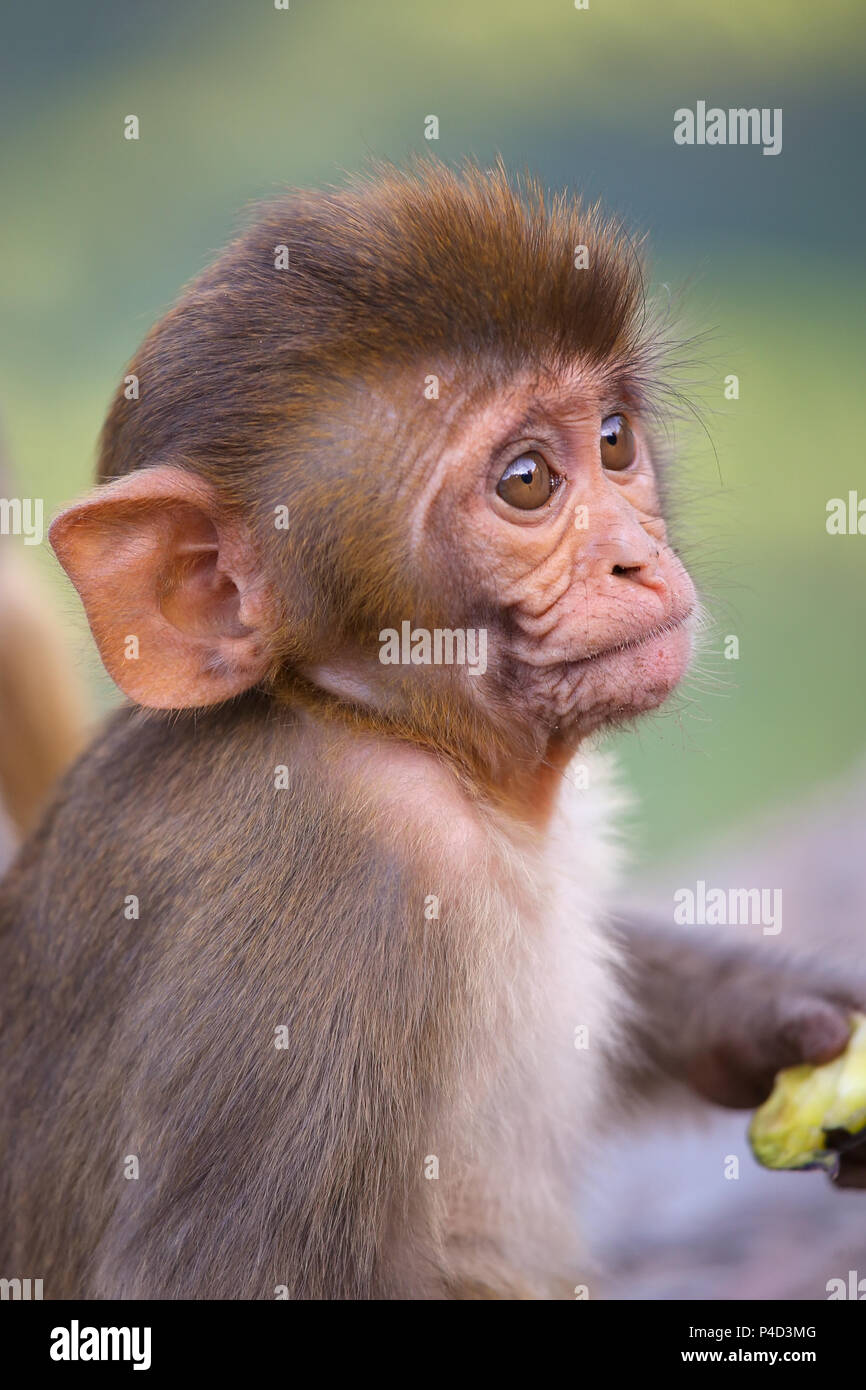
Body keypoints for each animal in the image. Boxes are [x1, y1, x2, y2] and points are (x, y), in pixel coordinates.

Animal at [1, 160, 864, 1301]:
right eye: (526, 481)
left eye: (612, 441)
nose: (636, 558)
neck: (378, 725)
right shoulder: (337, 898)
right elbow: (210, 1277)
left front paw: (780, 1017)